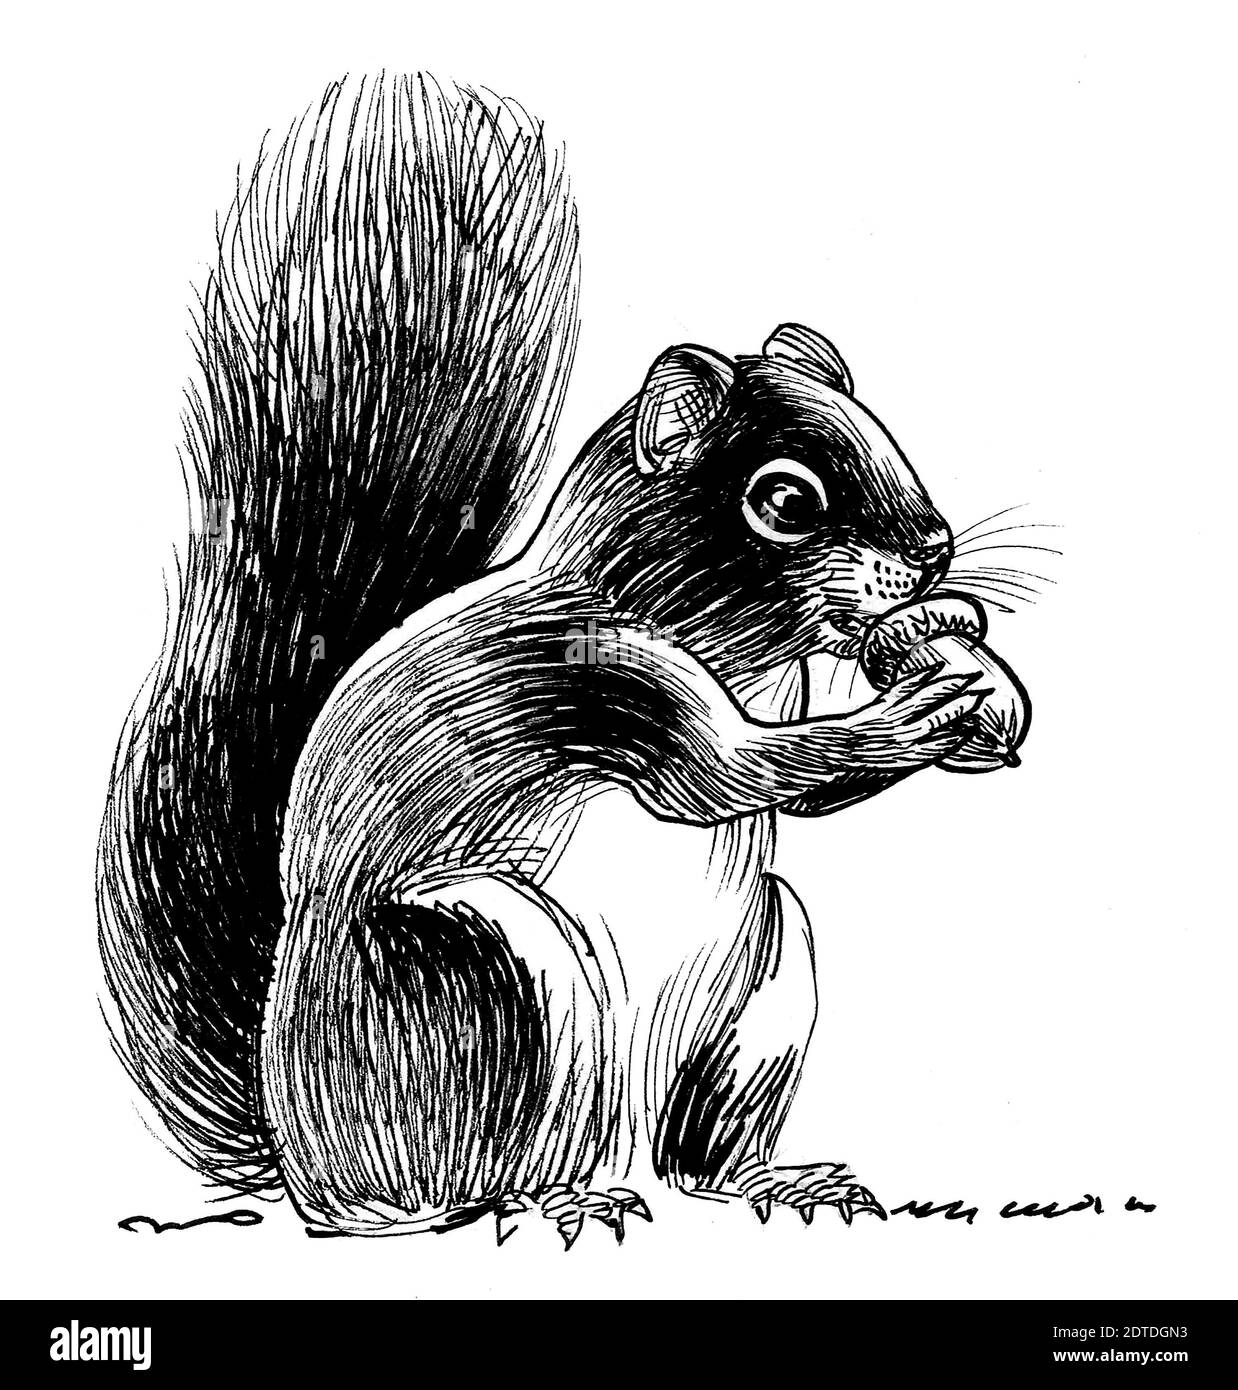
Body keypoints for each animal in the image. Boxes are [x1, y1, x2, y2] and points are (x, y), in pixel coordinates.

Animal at [98, 75, 1024, 1242]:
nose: (935, 549)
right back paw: (542, 1201)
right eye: (784, 500)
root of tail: (292, 1130)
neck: (727, 640)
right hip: (483, 966)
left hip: (763, 971)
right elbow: (728, 775)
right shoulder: (599, 680)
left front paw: (969, 657)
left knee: (695, 1156)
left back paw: (770, 1181)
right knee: (446, 1184)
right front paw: (919, 707)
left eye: (887, 438)